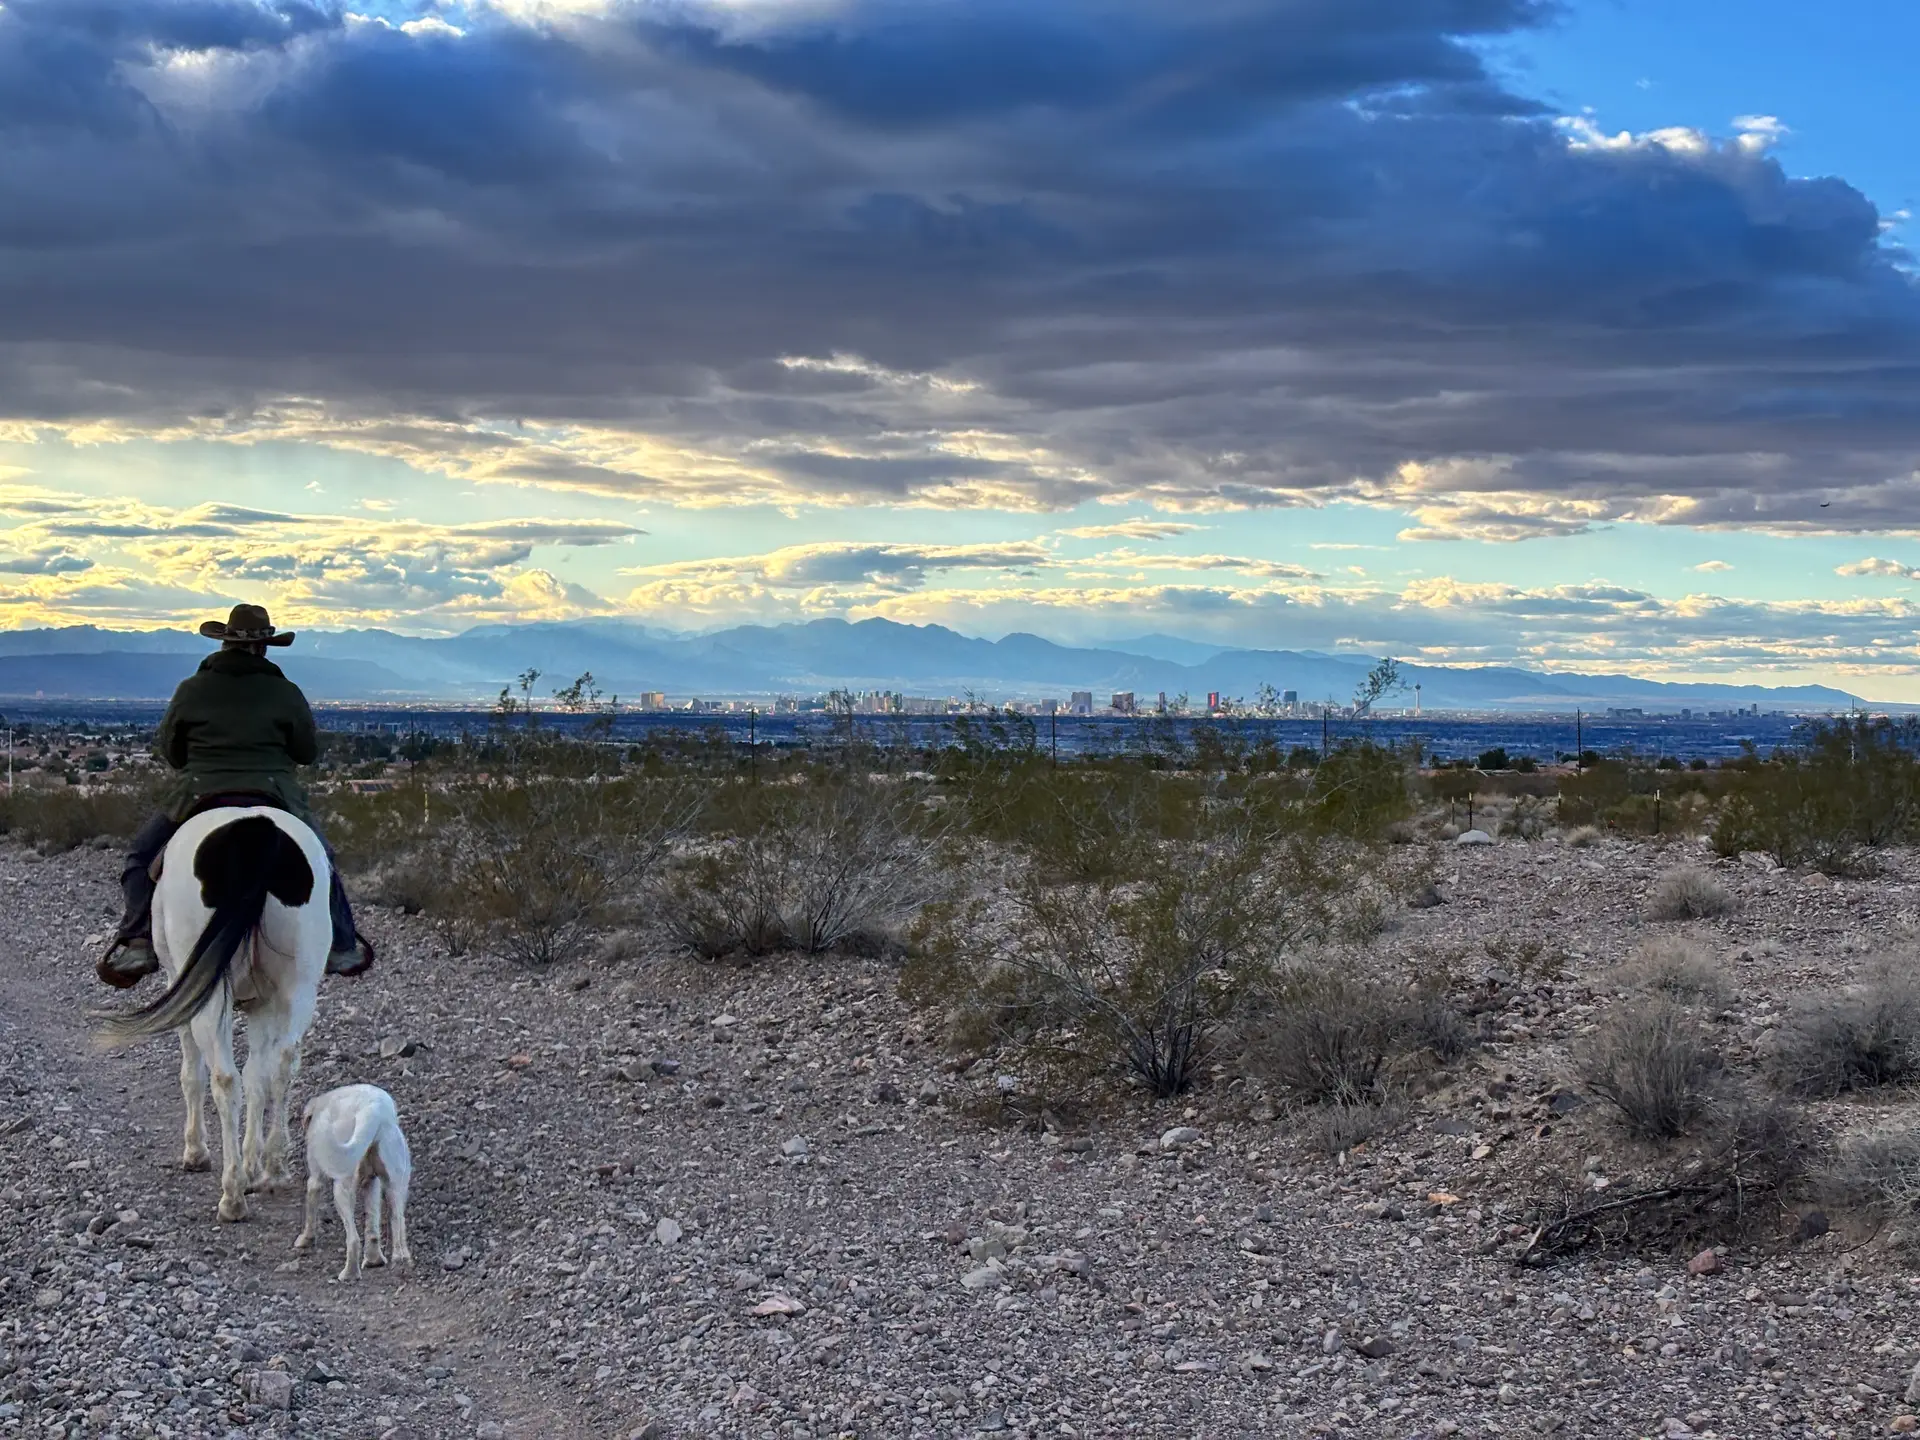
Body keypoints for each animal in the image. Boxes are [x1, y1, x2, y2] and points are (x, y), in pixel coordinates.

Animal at [95, 806, 332, 1223]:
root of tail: (257, 831)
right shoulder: (263, 1004)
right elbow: (258, 1076)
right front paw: (254, 1164)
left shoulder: (182, 983)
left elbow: (194, 1073)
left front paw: (197, 1152)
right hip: (299, 987)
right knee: (283, 1065)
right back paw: (272, 1168)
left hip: (209, 996)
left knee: (223, 1077)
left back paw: (232, 1194)